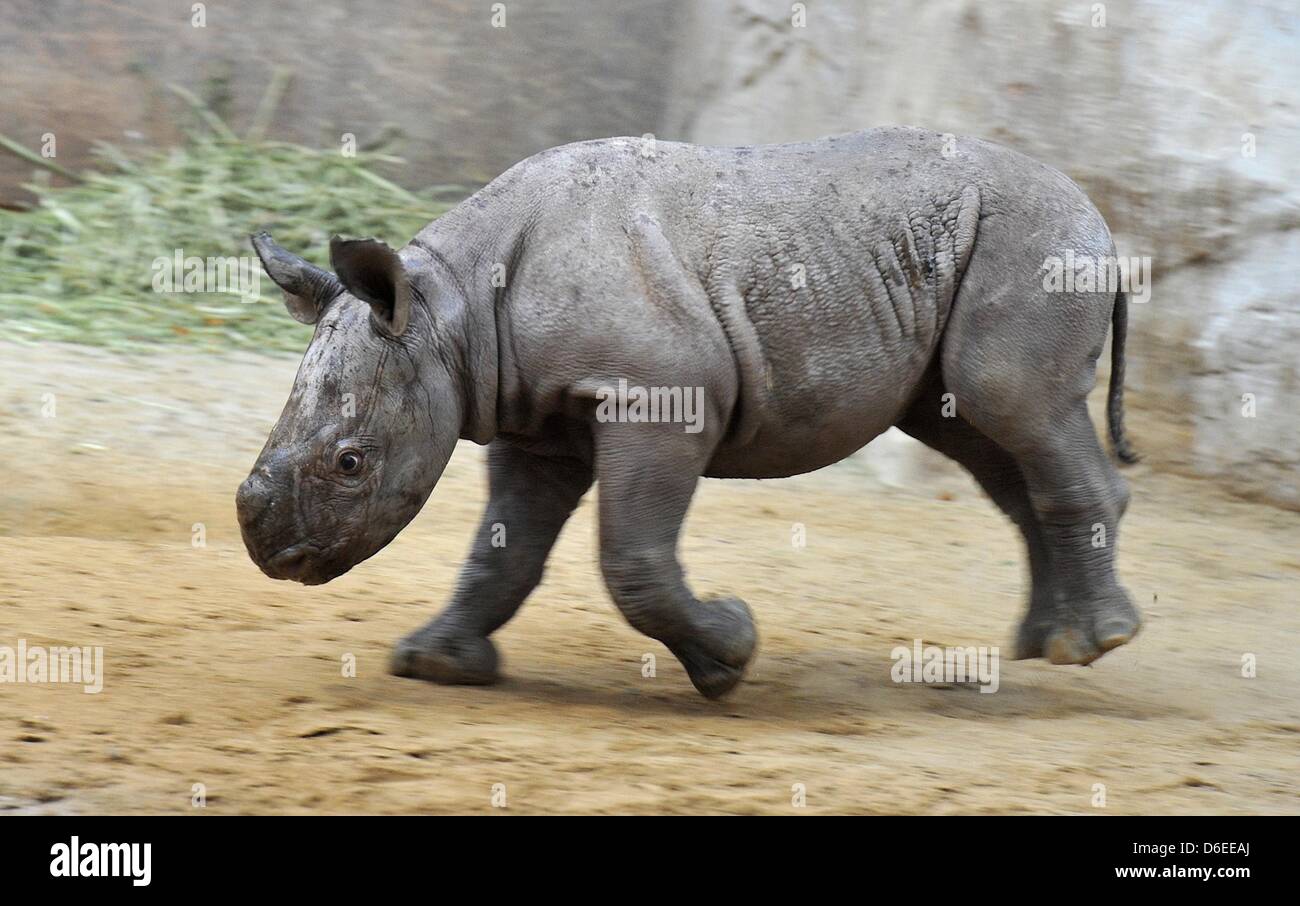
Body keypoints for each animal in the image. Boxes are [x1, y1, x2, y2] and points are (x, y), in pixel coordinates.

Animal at [237, 127, 1140, 699]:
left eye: (351, 463)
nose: (274, 557)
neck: (448, 310)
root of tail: (1106, 229)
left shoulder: (661, 395)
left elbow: (630, 559)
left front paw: (732, 652)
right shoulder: (532, 415)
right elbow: (504, 550)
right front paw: (436, 666)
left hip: (1032, 245)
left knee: (1008, 401)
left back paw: (1098, 641)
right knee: (978, 429)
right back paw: (1049, 645)